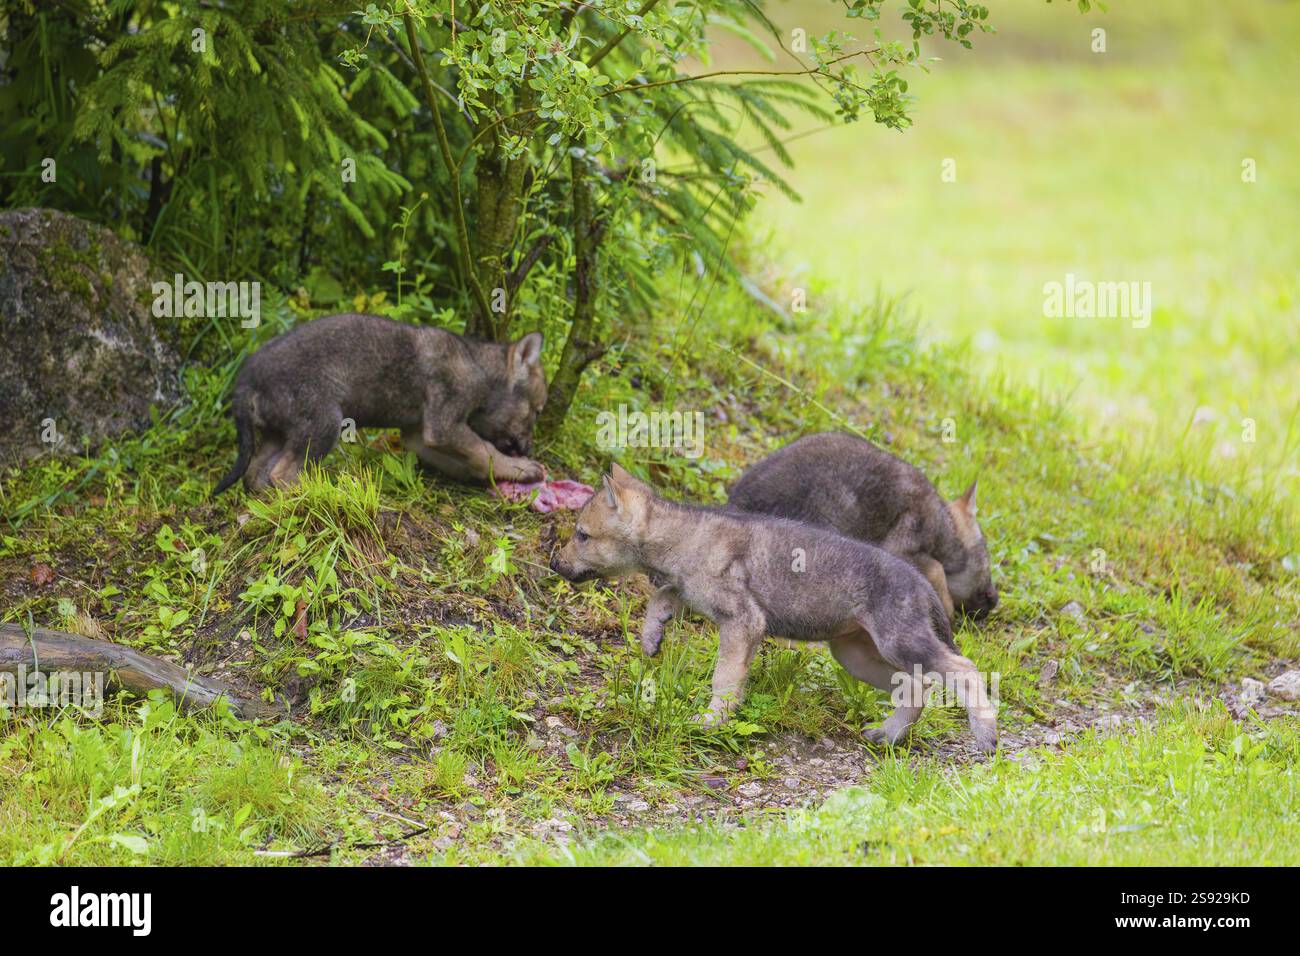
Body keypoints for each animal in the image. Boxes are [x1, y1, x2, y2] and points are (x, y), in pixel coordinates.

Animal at [212, 313, 547, 494]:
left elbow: (467, 462)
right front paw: (521, 468)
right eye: (537, 411)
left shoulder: (419, 436)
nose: (529, 448)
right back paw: (319, 496)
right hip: (324, 422)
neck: (480, 368)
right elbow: (484, 451)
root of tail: (246, 380)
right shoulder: (444, 426)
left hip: (277, 433)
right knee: (282, 474)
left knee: (255, 475)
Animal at [550, 464, 998, 752]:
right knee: (918, 687)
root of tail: (921, 582)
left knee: (964, 670)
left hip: (900, 643)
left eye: (582, 535)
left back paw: (985, 736)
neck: (682, 537)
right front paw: (651, 637)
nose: (555, 562)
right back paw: (888, 735)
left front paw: (711, 723)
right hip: (855, 654)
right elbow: (660, 599)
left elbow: (724, 681)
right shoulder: (687, 591)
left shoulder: (744, 621)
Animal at [727, 432, 997, 620]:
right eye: (986, 556)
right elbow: (937, 568)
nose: (995, 599)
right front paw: (946, 610)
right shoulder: (901, 544)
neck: (945, 524)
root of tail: (737, 503)